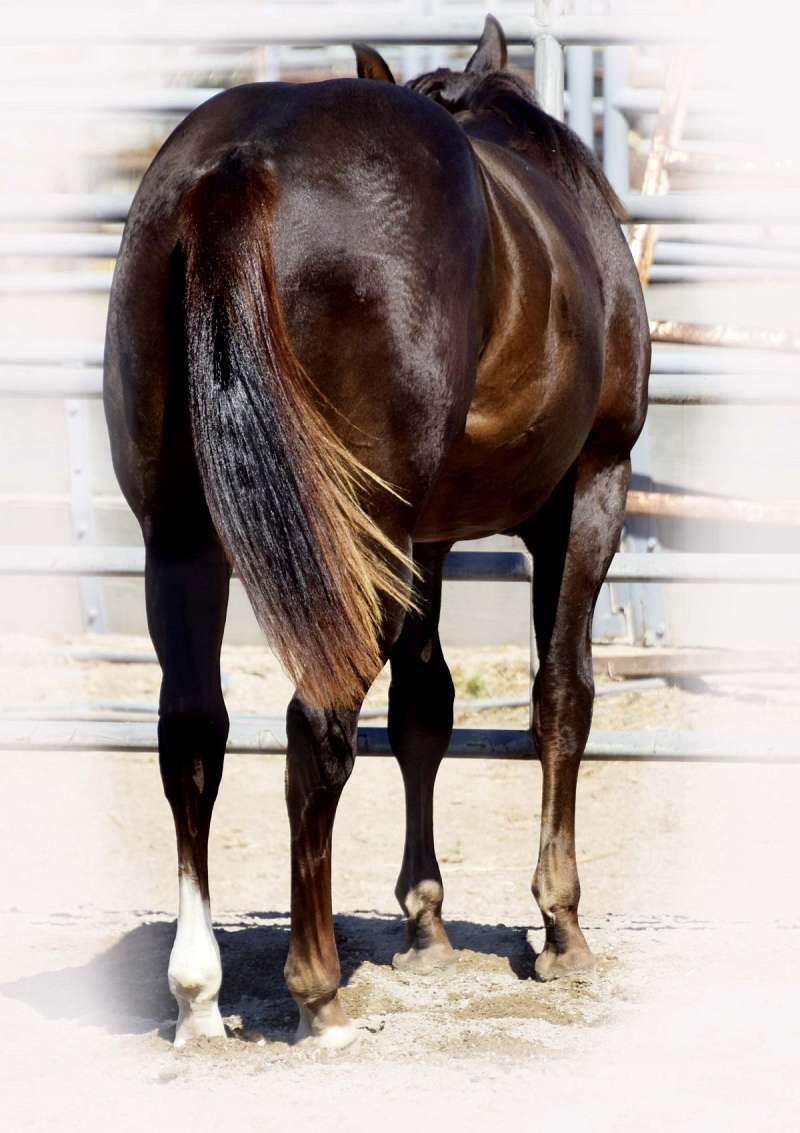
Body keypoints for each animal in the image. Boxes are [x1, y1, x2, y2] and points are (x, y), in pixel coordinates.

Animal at [103, 15, 649, 1049]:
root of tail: (242, 162)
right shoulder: (592, 495)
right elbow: (562, 697)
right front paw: (561, 924)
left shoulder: (422, 542)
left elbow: (424, 710)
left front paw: (426, 922)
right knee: (315, 724)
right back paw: (318, 994)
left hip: (181, 539)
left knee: (192, 730)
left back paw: (198, 994)